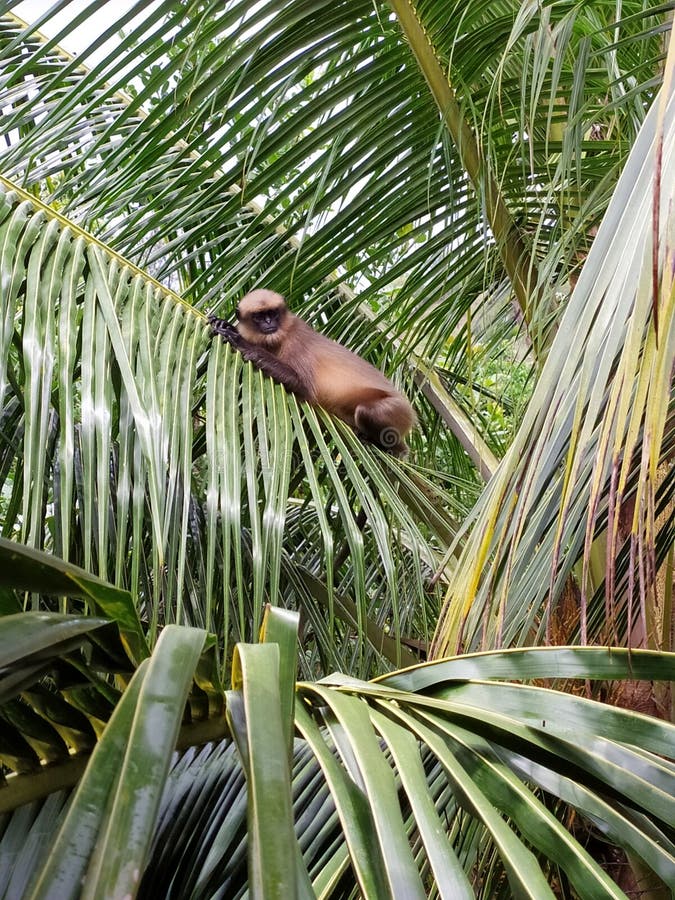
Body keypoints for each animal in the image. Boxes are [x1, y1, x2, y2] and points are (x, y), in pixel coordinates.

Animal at [209, 289, 415, 456]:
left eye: (273, 314)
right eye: (259, 316)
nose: (268, 322)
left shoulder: (295, 339)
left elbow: (304, 387)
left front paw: (240, 341)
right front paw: (225, 325)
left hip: (396, 410)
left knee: (368, 413)